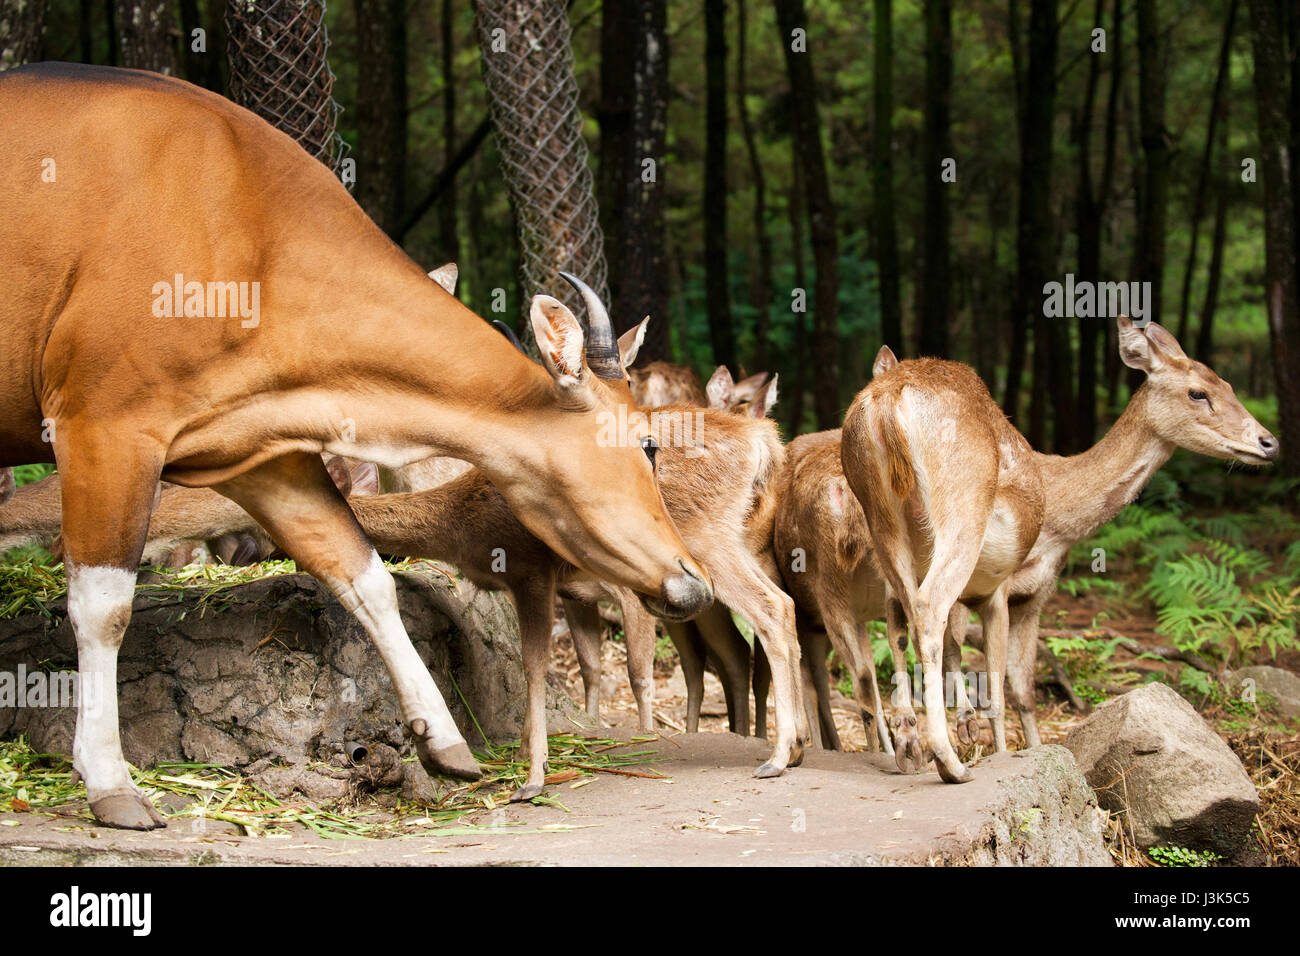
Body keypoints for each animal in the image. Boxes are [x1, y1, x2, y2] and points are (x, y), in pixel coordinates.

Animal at [0, 63, 711, 830]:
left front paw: (445, 742)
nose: (692, 581)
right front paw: (110, 784)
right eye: (647, 445)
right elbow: (104, 608)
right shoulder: (104, 426)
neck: (247, 230)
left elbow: (364, 574)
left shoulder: (265, 454)